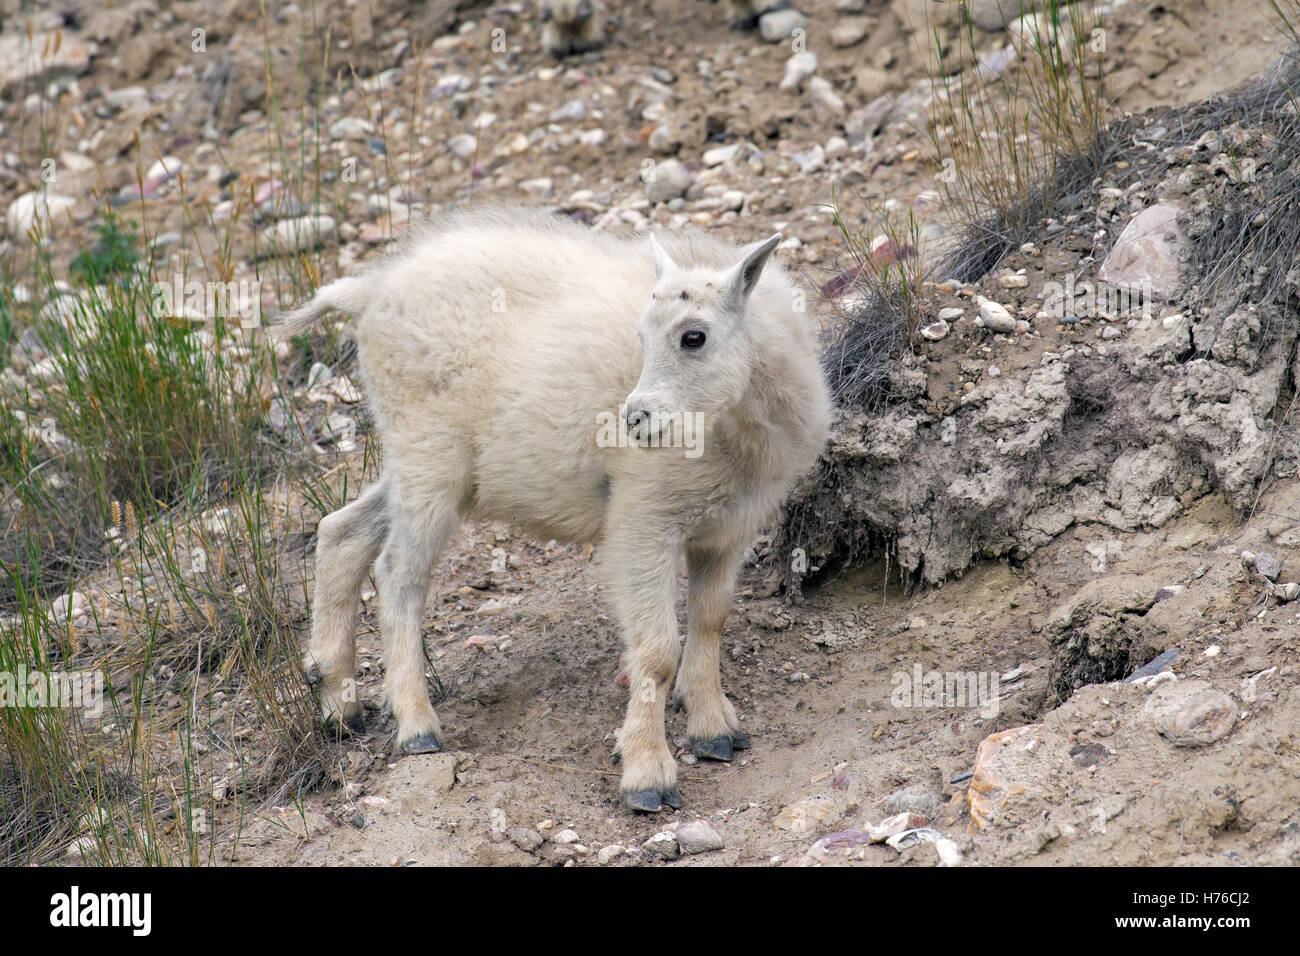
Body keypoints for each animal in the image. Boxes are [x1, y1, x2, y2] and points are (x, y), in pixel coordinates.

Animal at [278, 205, 831, 812]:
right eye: (642, 336)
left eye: (693, 336)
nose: (635, 420)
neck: (743, 425)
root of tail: (370, 291)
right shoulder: (644, 520)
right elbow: (658, 649)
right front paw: (647, 774)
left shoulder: (728, 530)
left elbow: (710, 621)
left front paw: (715, 731)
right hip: (429, 458)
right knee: (398, 574)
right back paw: (417, 725)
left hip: (427, 467)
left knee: (342, 531)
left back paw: (337, 701)